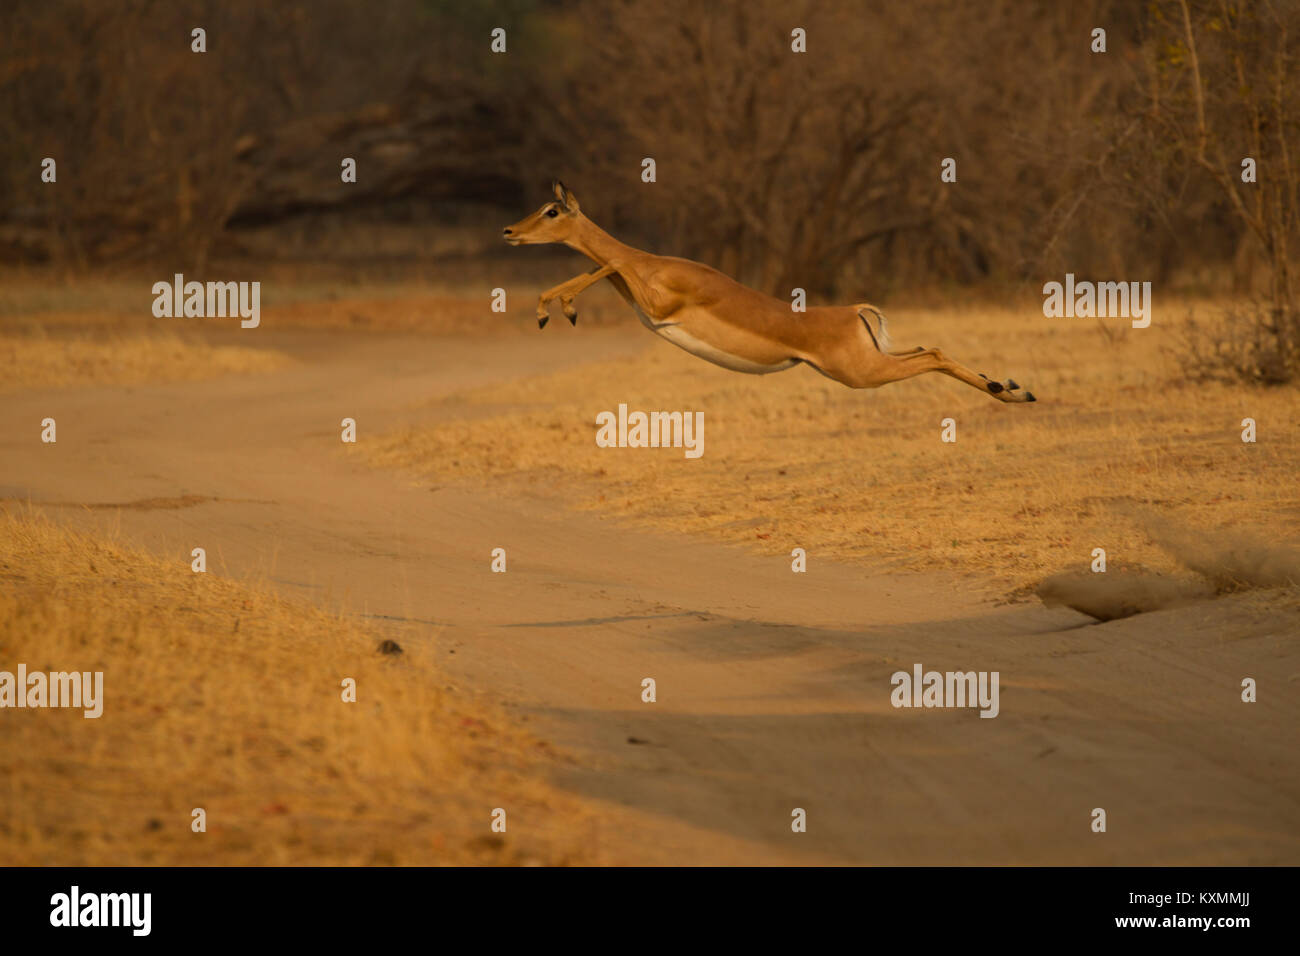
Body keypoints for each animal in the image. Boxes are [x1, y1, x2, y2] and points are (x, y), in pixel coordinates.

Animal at [503, 182, 1036, 403]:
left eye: (553, 211)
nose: (509, 231)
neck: (654, 265)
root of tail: (853, 311)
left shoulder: (658, 305)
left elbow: (608, 261)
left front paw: (555, 310)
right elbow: (605, 265)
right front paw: (553, 309)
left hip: (861, 373)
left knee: (935, 353)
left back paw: (1013, 392)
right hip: (873, 358)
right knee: (929, 347)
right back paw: (1010, 387)